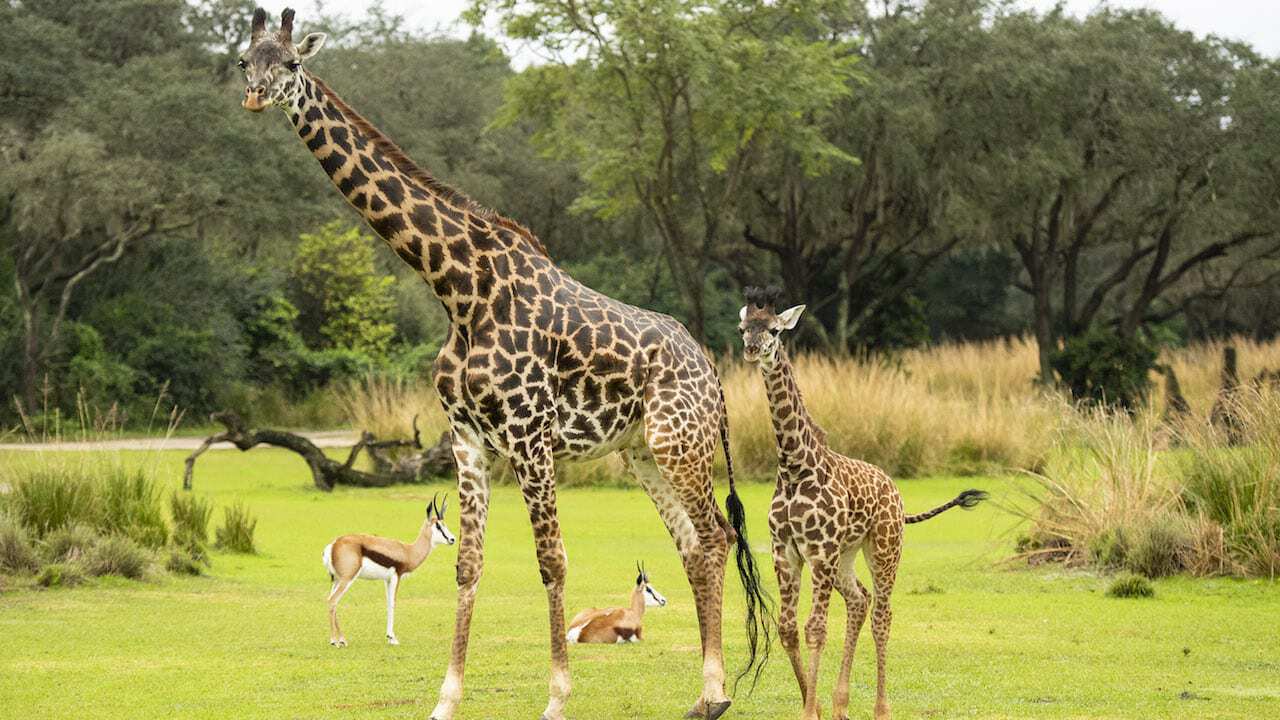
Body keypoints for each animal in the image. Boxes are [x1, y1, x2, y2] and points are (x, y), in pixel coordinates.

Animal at [236, 9, 771, 720]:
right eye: (245, 61)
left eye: (292, 63)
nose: (255, 97)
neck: (459, 289)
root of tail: (712, 372)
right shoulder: (468, 439)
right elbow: (468, 565)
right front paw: (446, 699)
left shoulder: (528, 437)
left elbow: (553, 562)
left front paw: (557, 698)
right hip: (641, 453)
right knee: (692, 542)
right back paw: (707, 695)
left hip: (680, 443)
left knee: (714, 535)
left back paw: (714, 691)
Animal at [737, 286, 988, 720]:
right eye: (743, 328)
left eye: (774, 329)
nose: (753, 349)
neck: (794, 466)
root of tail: (896, 494)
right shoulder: (786, 550)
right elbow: (787, 628)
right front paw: (817, 705)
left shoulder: (819, 551)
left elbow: (815, 629)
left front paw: (810, 711)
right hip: (846, 555)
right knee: (860, 601)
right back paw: (840, 705)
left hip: (884, 548)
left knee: (882, 613)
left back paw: (881, 708)